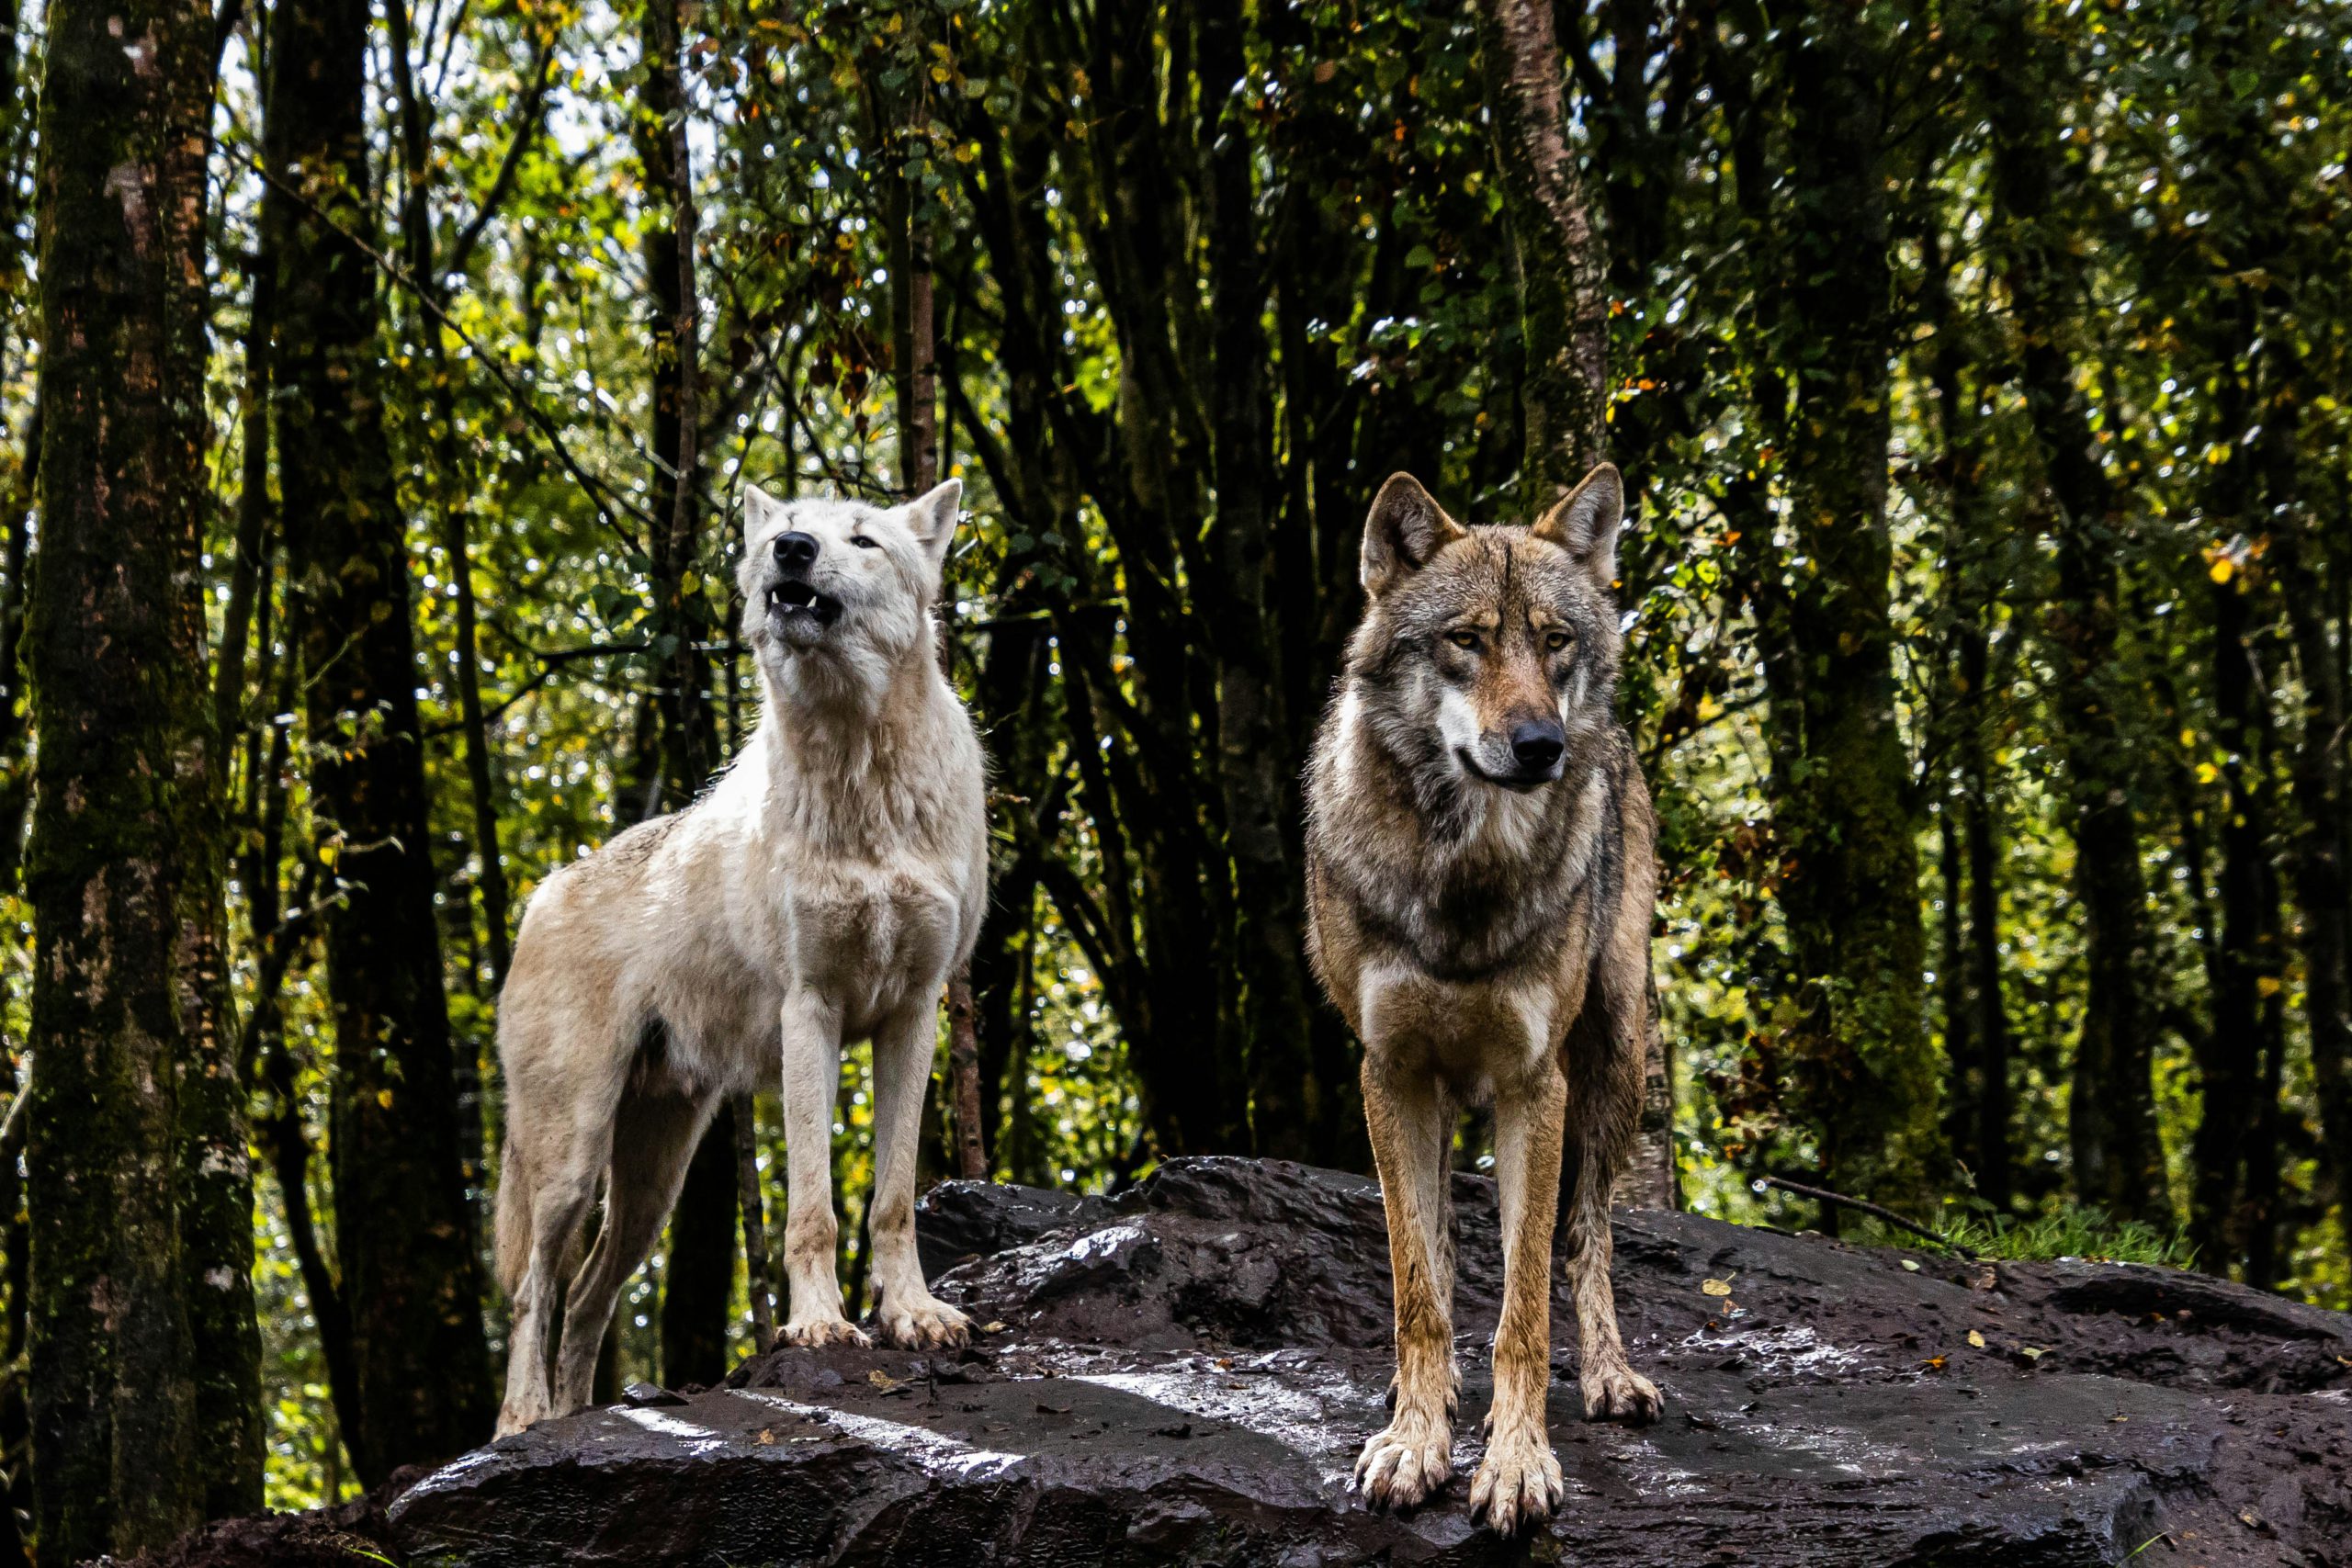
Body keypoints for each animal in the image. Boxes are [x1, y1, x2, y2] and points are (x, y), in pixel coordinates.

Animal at [492, 479, 987, 1436]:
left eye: (862, 540)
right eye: (786, 533)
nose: (792, 549)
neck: (860, 777)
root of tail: (542, 894)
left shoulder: (915, 1012)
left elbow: (894, 1196)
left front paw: (913, 1315)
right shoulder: (810, 1010)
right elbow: (813, 1207)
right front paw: (821, 1325)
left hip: (655, 1185)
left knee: (587, 1295)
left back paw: (577, 1416)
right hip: (572, 1156)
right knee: (534, 1288)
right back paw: (525, 1420)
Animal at [1304, 463, 1663, 1533]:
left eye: (1554, 641)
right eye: (1466, 640)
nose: (1541, 744)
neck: (1464, 871)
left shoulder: (1532, 1086)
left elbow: (1524, 1306)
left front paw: (1515, 1461)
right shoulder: (1390, 1072)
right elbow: (1419, 1285)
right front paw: (1416, 1439)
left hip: (1615, 1060)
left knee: (1588, 1239)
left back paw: (1611, 1375)